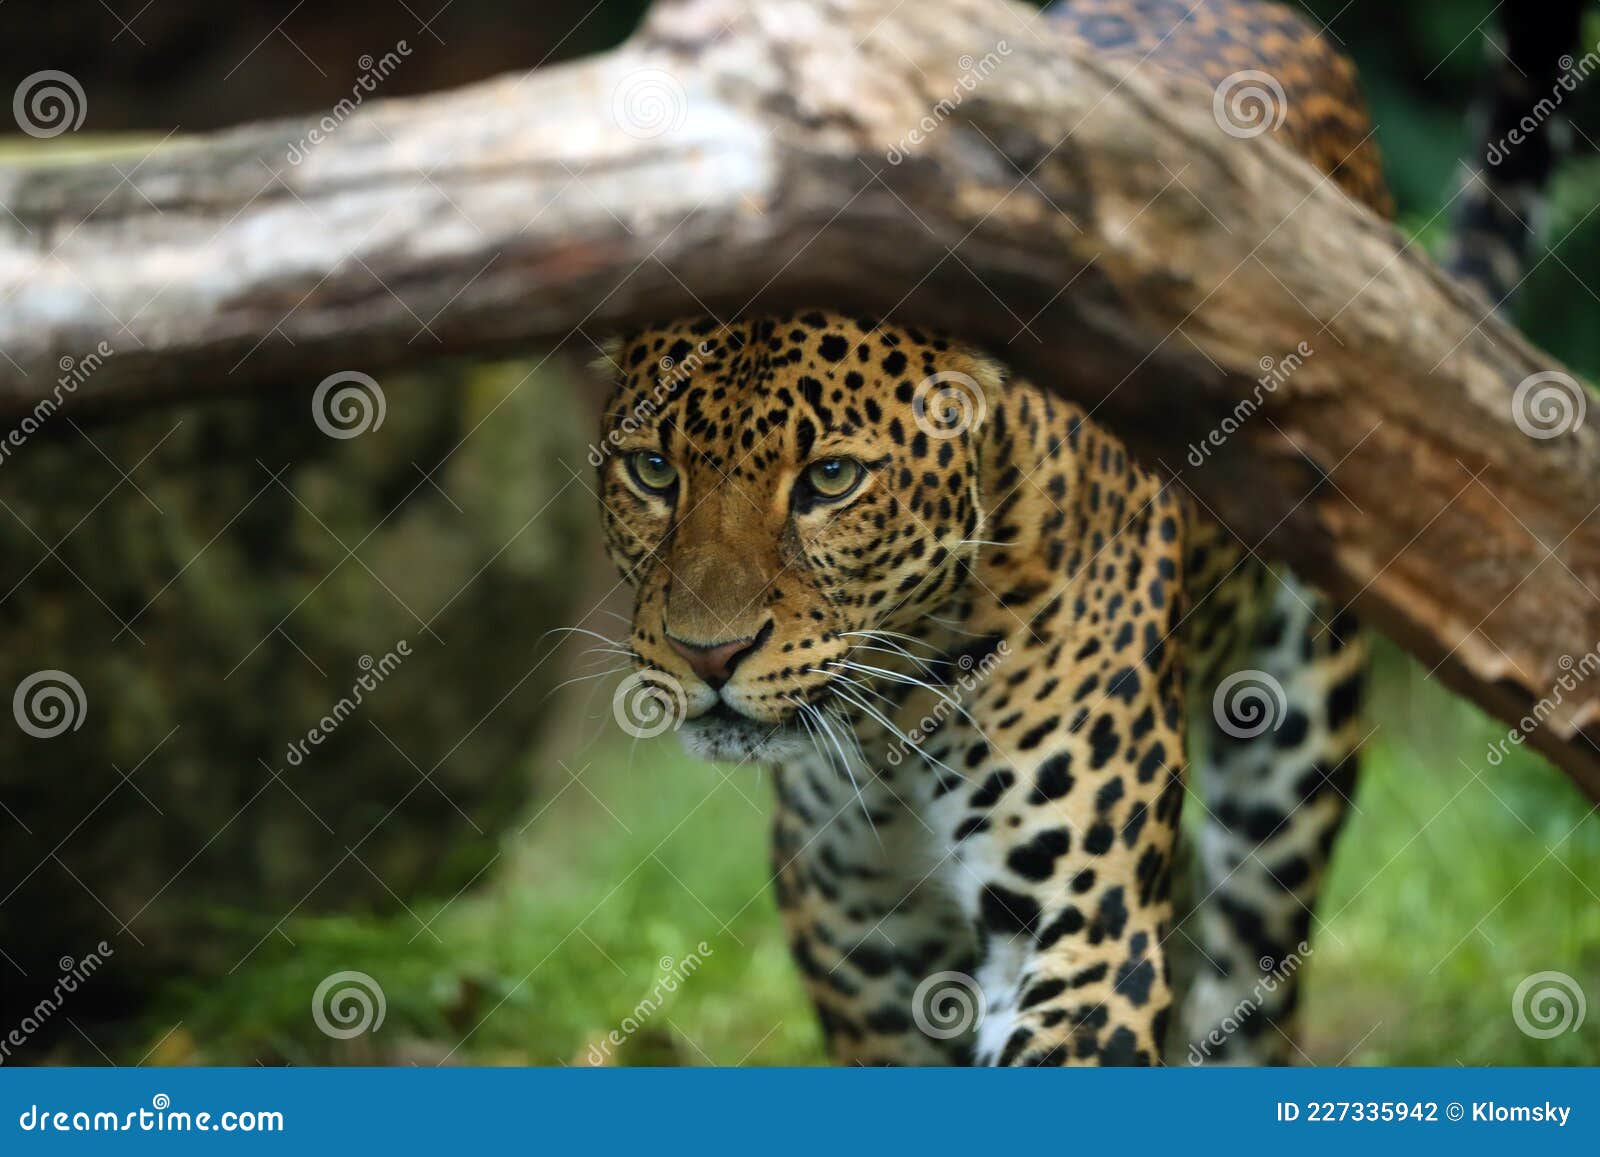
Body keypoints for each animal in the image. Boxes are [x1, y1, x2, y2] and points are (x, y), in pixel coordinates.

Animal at [590, 0, 1546, 1065]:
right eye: (653, 470)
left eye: (830, 480)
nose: (706, 655)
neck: (893, 728)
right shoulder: (860, 950)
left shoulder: (1081, 927)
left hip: (1291, 751)